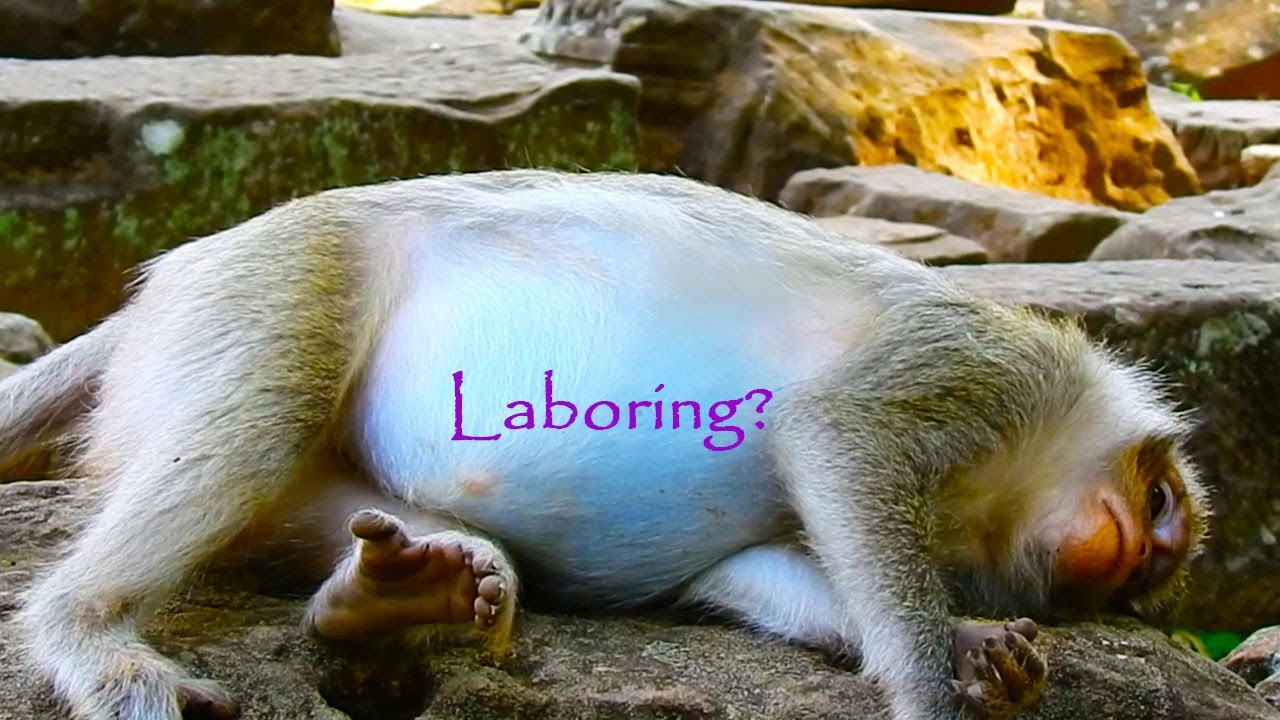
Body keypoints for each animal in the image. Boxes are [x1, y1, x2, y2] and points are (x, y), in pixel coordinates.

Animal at [0, 169, 1209, 720]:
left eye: (1137, 582)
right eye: (1160, 510)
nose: (1131, 561)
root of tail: (185, 267)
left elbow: (753, 569)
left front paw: (970, 641)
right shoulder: (988, 367)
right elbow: (839, 434)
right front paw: (928, 684)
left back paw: (386, 592)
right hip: (274, 280)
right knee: (256, 413)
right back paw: (87, 633)